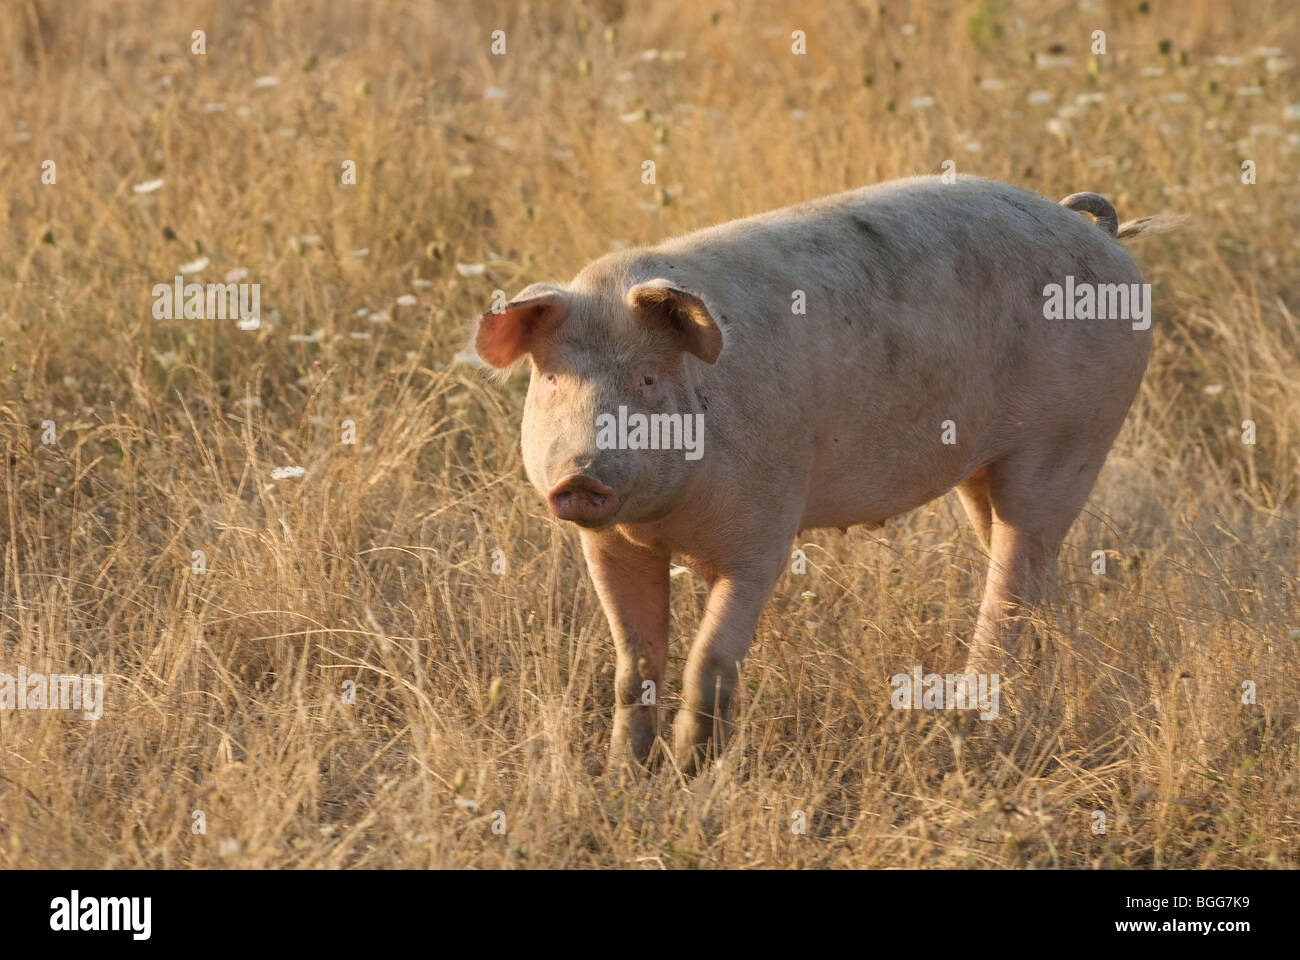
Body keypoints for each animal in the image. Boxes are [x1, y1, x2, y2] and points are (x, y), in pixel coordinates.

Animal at [472, 175, 1172, 773]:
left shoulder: (764, 529)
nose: (580, 477)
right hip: (985, 466)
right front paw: (624, 773)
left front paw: (693, 768)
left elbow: (710, 657)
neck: (664, 521)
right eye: (554, 378)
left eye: (646, 379)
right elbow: (633, 664)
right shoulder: (611, 544)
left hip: (1071, 437)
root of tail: (1101, 235)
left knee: (1016, 565)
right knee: (1026, 564)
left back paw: (971, 717)